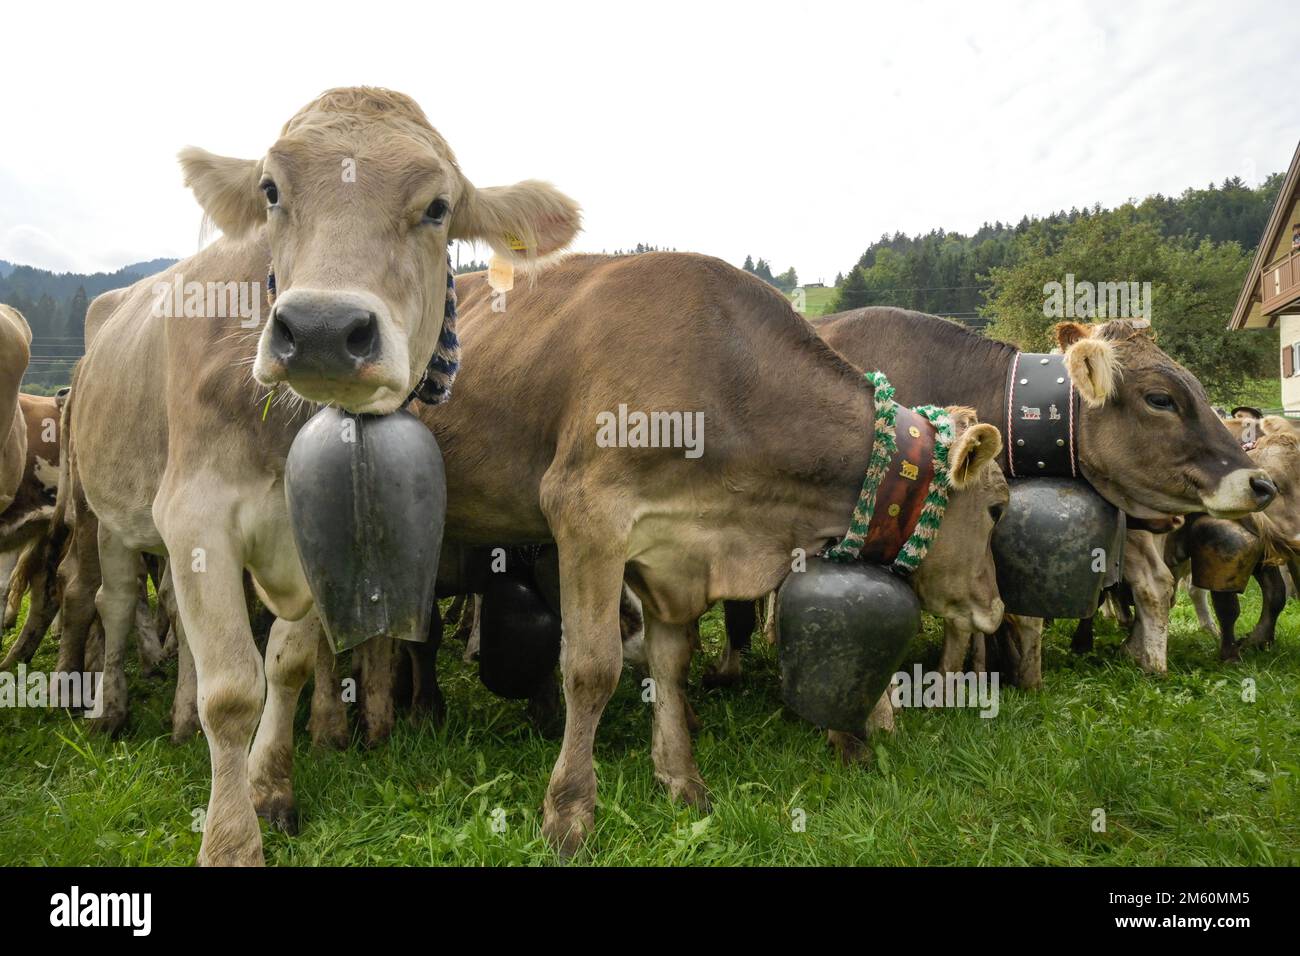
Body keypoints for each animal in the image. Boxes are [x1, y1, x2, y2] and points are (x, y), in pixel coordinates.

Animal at [67, 86, 582, 866]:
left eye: (438, 207)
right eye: (271, 191)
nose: (319, 330)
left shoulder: (311, 533)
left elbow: (284, 663)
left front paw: (270, 788)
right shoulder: (196, 515)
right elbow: (232, 690)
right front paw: (229, 841)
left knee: (179, 624)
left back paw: (179, 720)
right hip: (109, 513)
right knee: (119, 605)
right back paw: (111, 712)